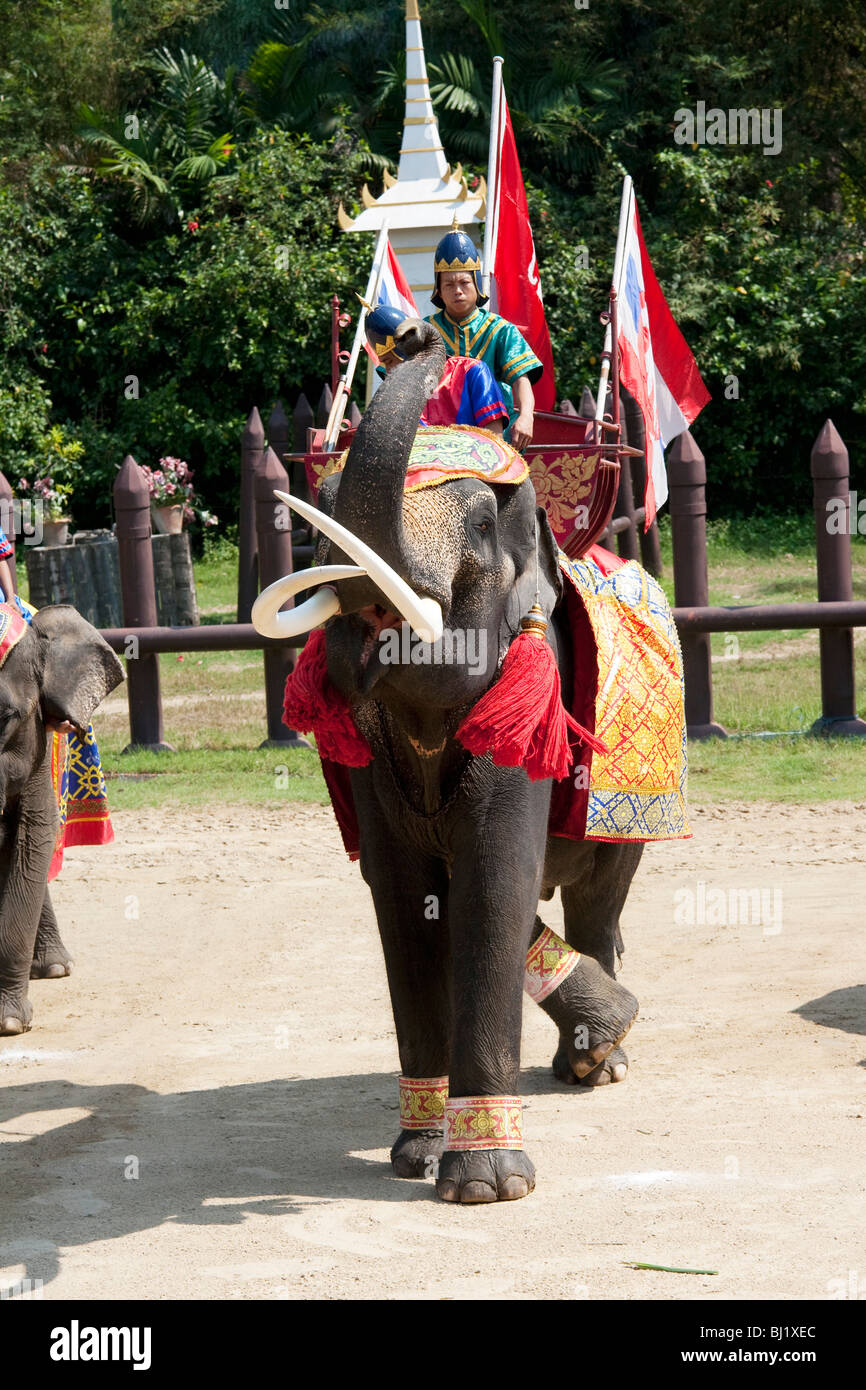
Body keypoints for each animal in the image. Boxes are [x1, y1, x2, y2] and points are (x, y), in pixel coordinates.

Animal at [253, 320, 662, 1205]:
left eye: (477, 525)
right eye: (318, 521)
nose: (414, 335)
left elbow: (493, 879)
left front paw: (483, 1187)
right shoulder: (369, 757)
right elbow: (405, 895)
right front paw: (415, 1157)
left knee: (599, 896)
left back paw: (600, 1063)